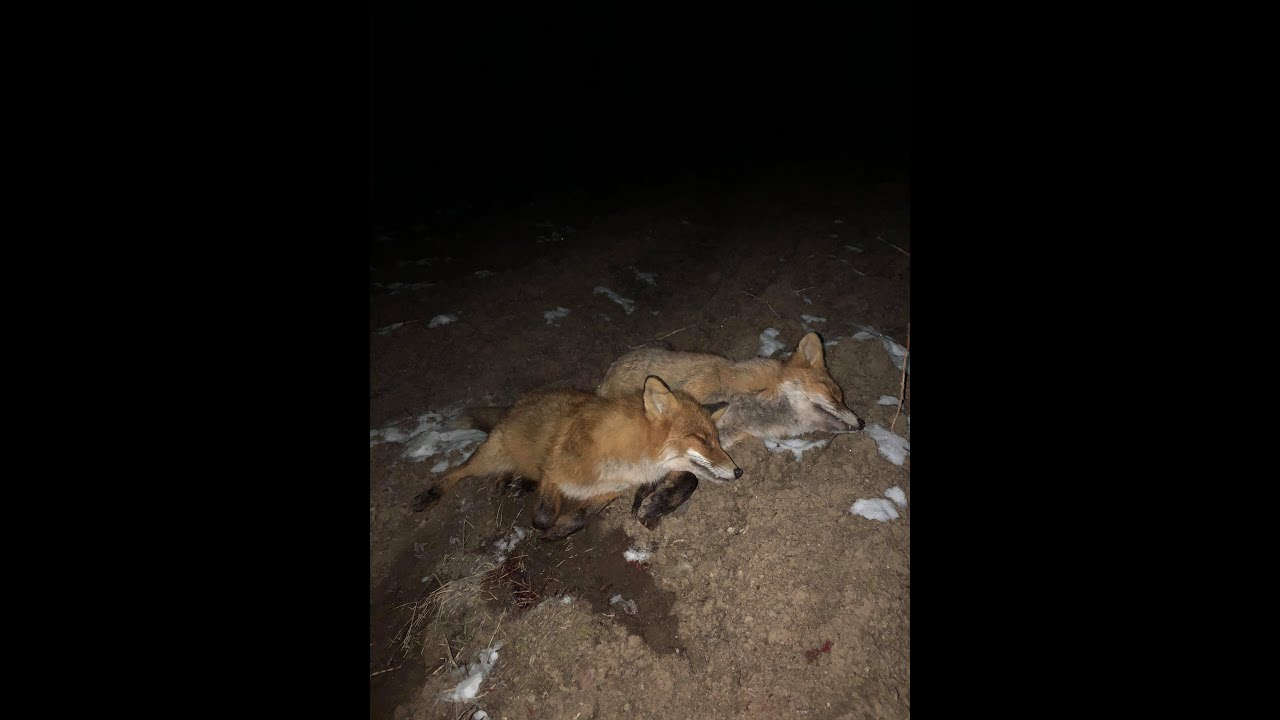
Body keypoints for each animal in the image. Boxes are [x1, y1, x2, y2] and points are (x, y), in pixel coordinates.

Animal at [410, 376, 741, 540]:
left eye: (717, 439)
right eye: (702, 440)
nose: (738, 471)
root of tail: (522, 400)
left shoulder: (608, 491)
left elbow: (583, 515)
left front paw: (561, 529)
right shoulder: (554, 475)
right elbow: (543, 516)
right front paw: (546, 530)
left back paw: (512, 482)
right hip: (488, 456)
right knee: (459, 471)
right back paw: (431, 494)